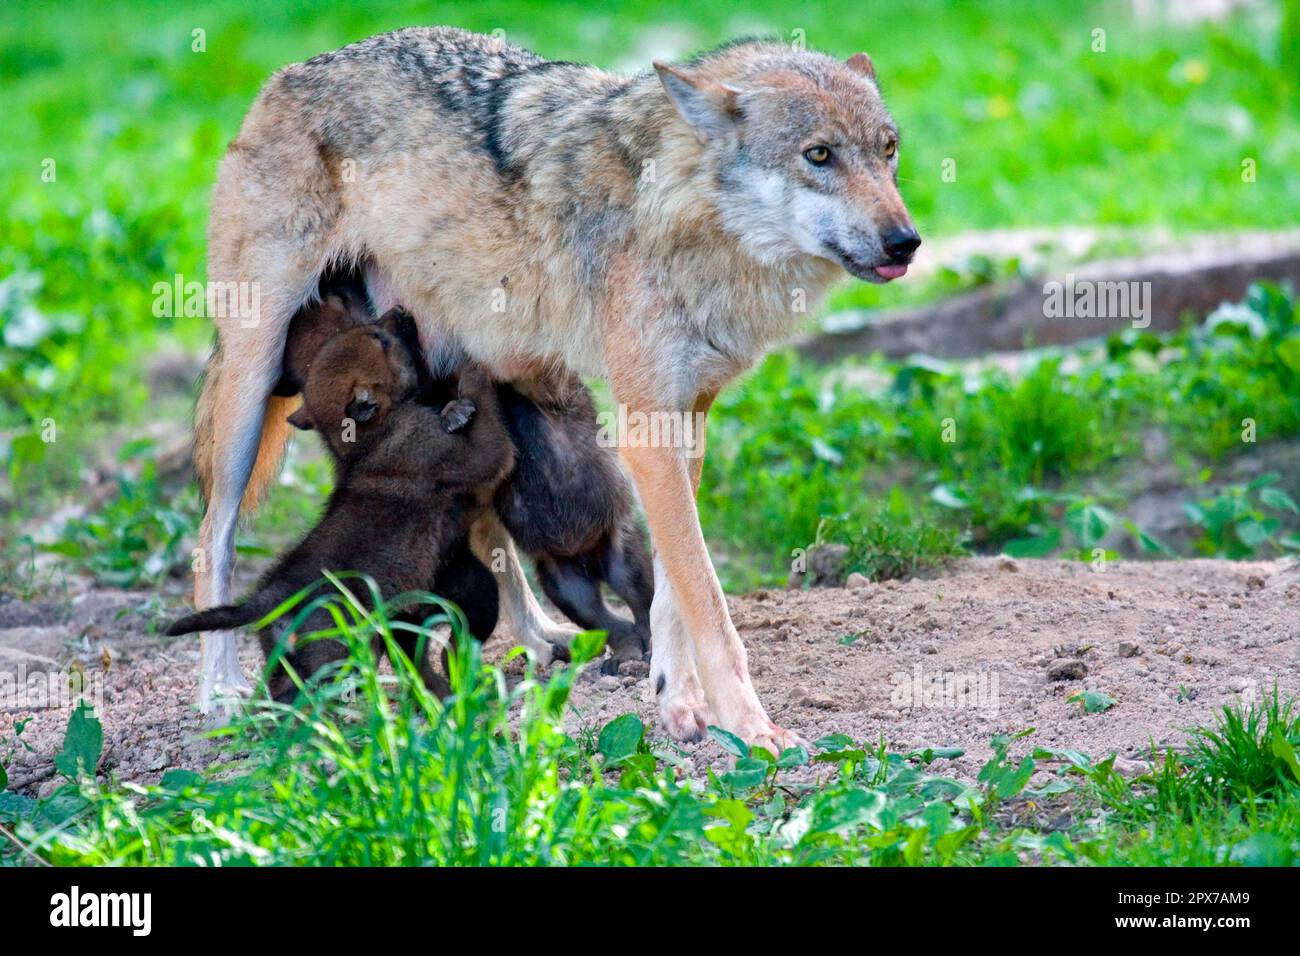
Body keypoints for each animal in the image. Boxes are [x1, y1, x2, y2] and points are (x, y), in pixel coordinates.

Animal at [170, 313, 513, 699]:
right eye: (379, 339)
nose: (399, 310)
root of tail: (272, 595)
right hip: (340, 650)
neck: (368, 438)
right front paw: (471, 369)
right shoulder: (471, 453)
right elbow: (487, 422)